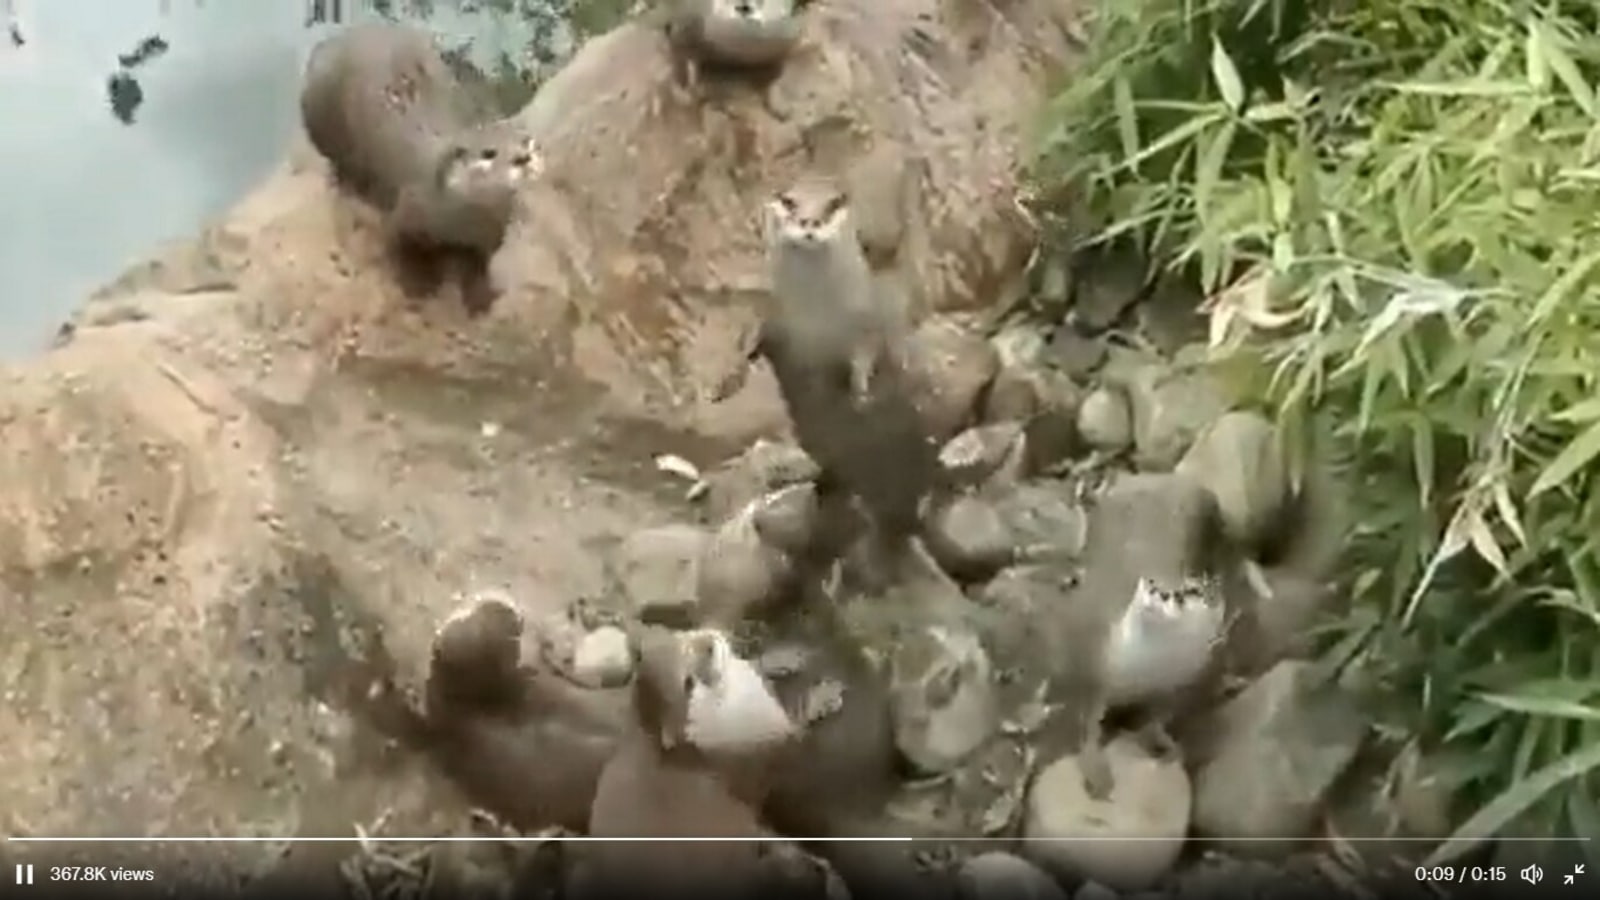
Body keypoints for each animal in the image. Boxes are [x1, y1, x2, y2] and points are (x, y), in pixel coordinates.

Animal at [299, 22, 541, 308]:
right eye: (488, 153)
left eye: (528, 143)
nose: (523, 159)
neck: (459, 226)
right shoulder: (406, 211)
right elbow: (404, 251)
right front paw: (418, 284)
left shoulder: (493, 233)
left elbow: (480, 264)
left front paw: (480, 295)